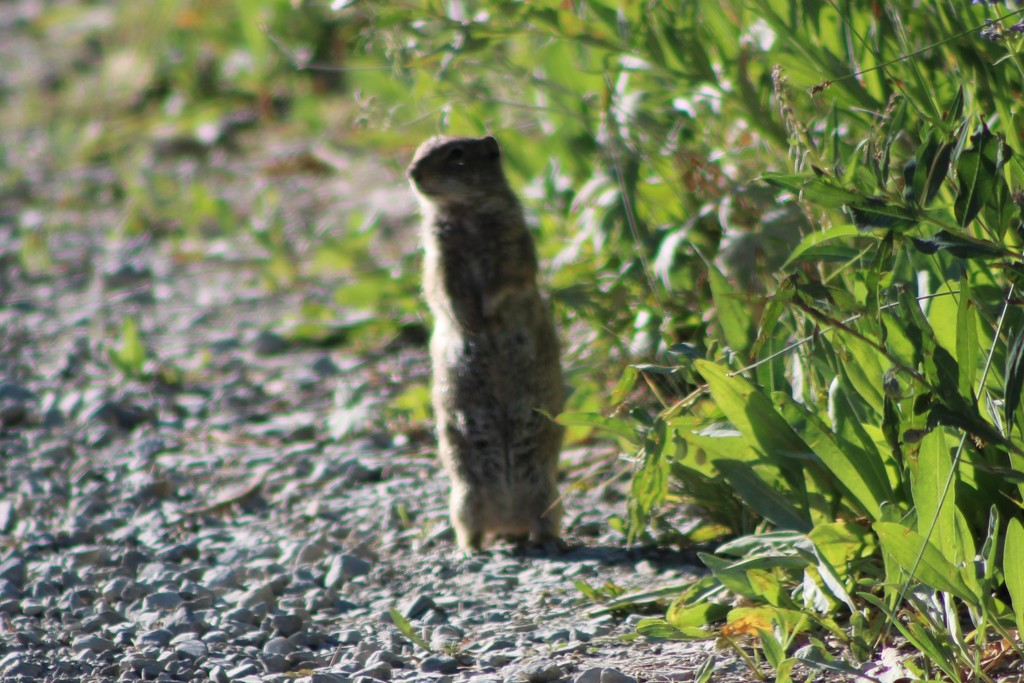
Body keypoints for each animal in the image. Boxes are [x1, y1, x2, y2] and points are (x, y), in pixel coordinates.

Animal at [407, 135, 565, 551]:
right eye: (419, 149)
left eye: (456, 154)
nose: (412, 172)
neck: (464, 214)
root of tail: (508, 521)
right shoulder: (439, 257)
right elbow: (442, 290)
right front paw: (472, 325)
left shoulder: (512, 244)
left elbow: (505, 281)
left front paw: (487, 318)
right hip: (465, 498)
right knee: (470, 528)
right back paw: (469, 550)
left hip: (549, 494)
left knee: (544, 522)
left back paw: (549, 542)